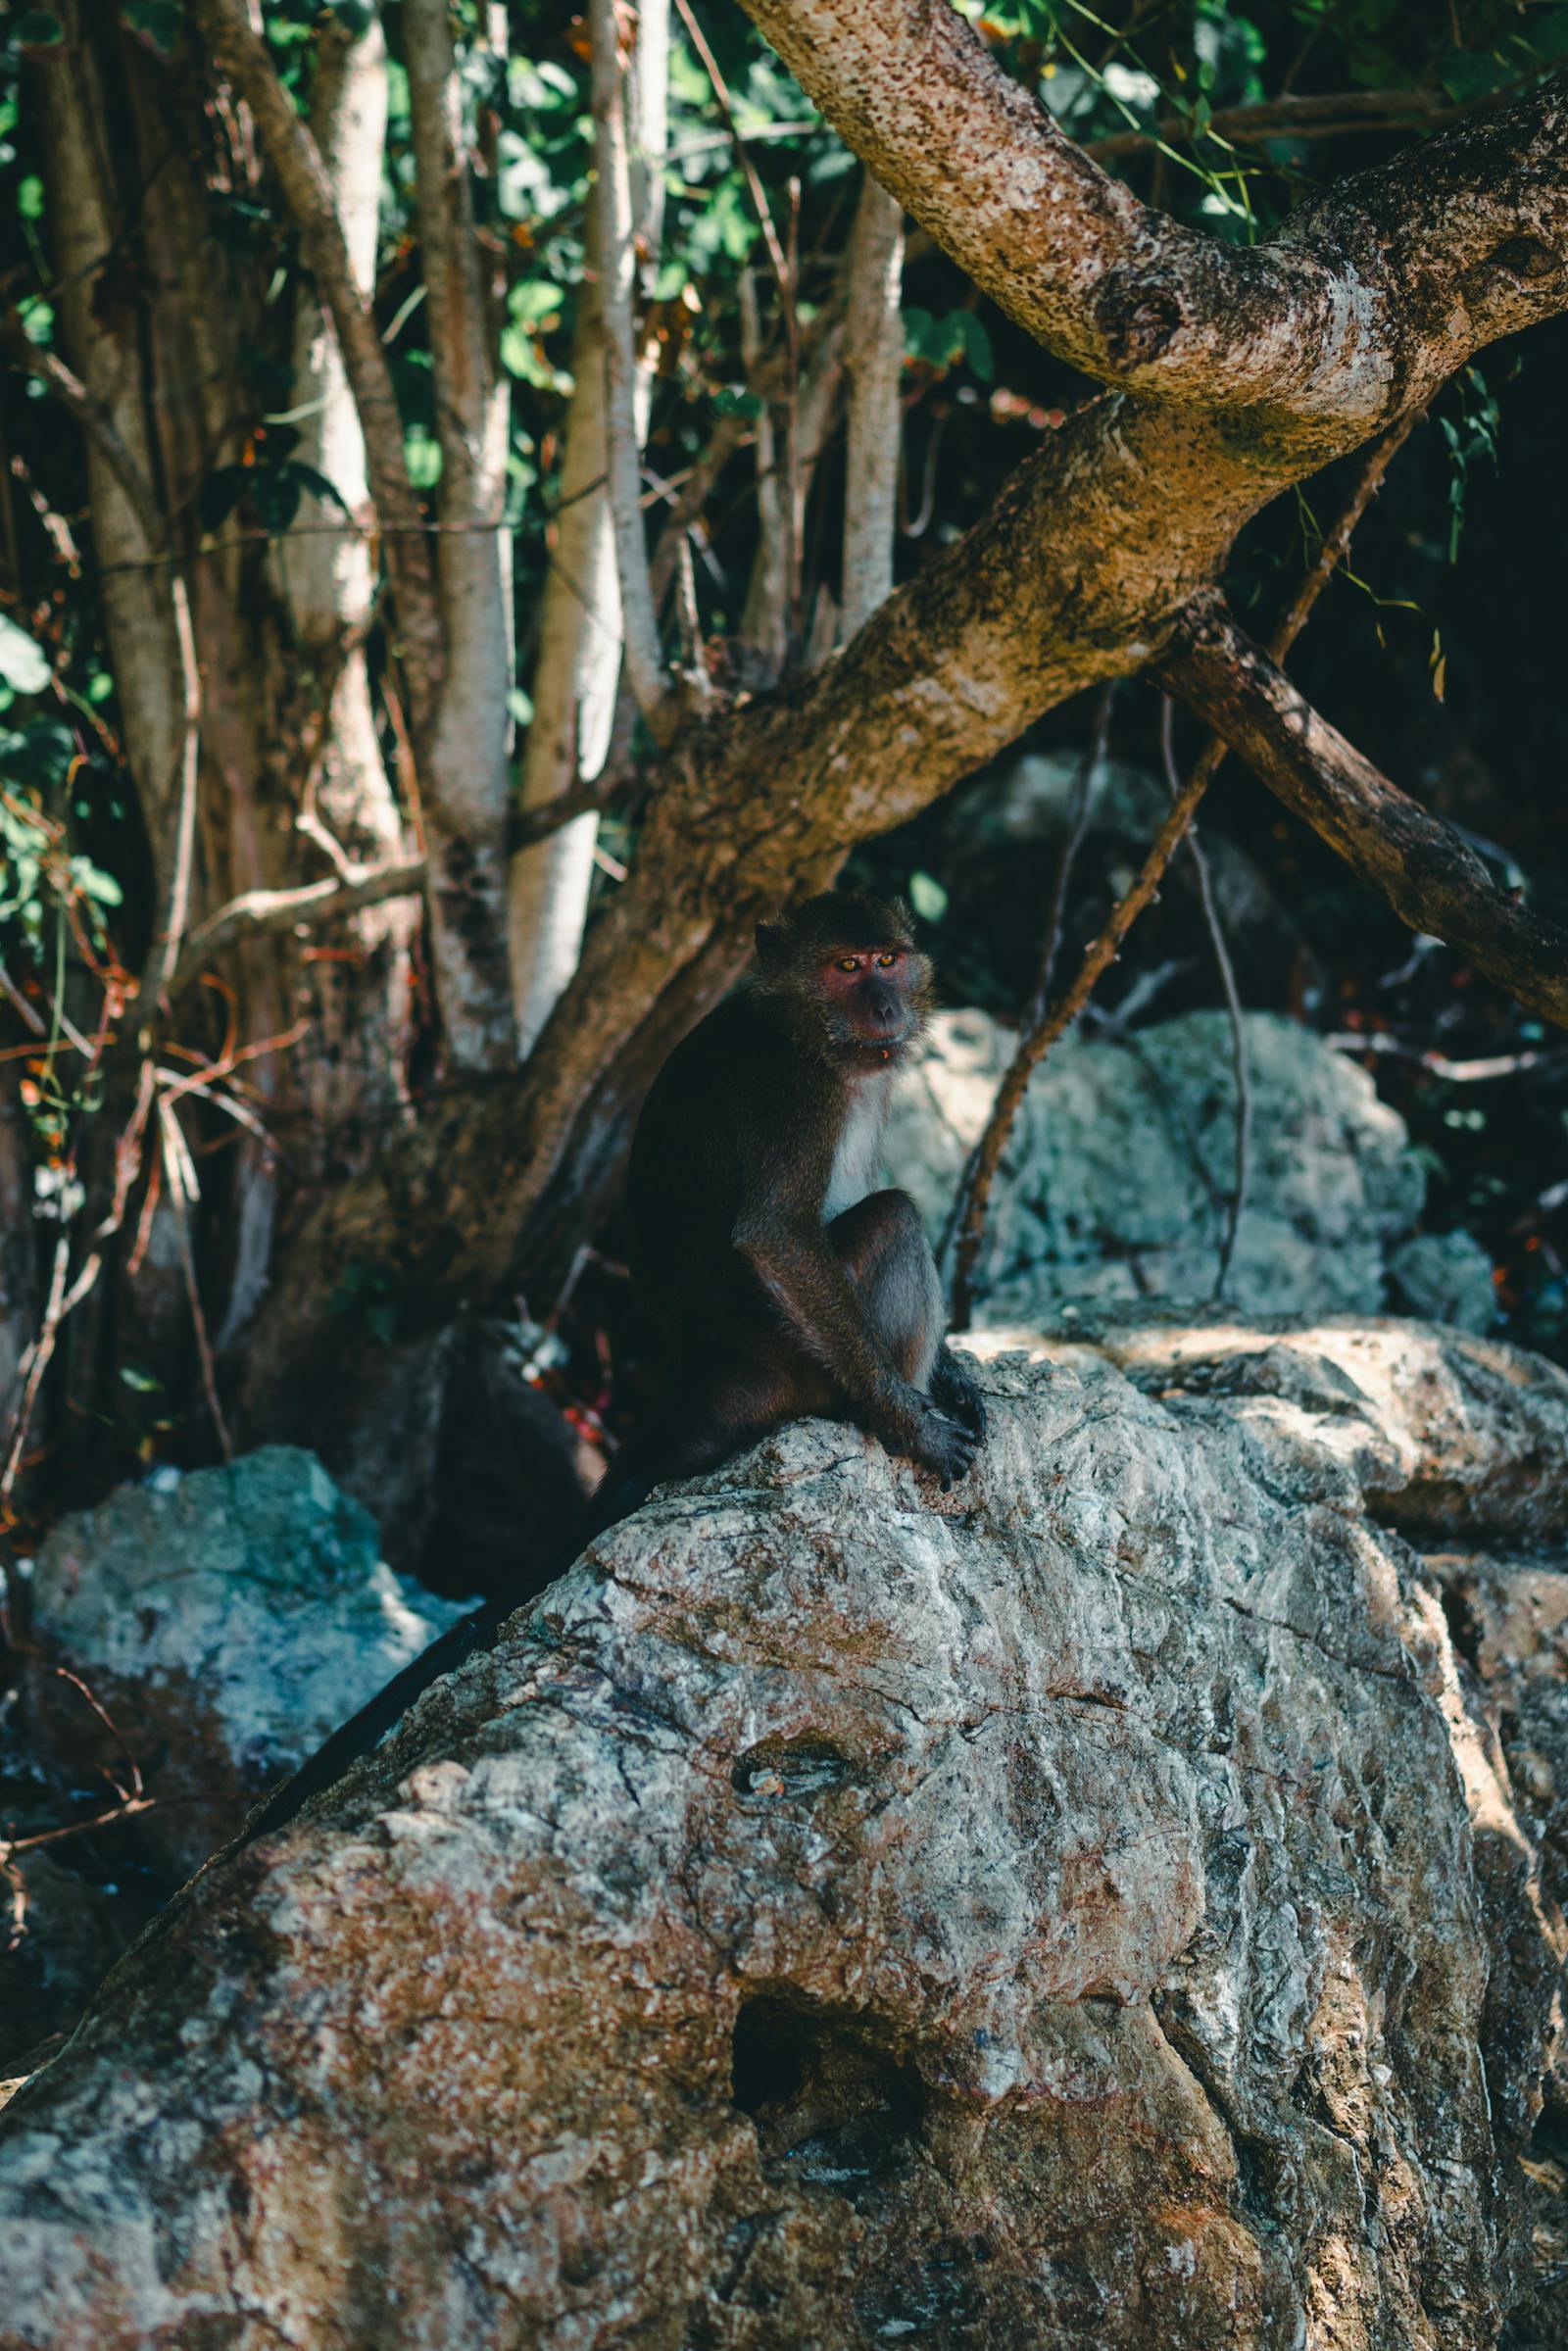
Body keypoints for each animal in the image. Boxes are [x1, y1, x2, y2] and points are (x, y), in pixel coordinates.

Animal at [237, 891, 982, 1848]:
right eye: (845, 968)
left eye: (888, 959)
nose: (885, 1004)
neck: (810, 1031)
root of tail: (692, 1382)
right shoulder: (795, 1089)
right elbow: (776, 1235)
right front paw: (913, 1420)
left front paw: (956, 1377)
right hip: (792, 1368)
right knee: (892, 1219)